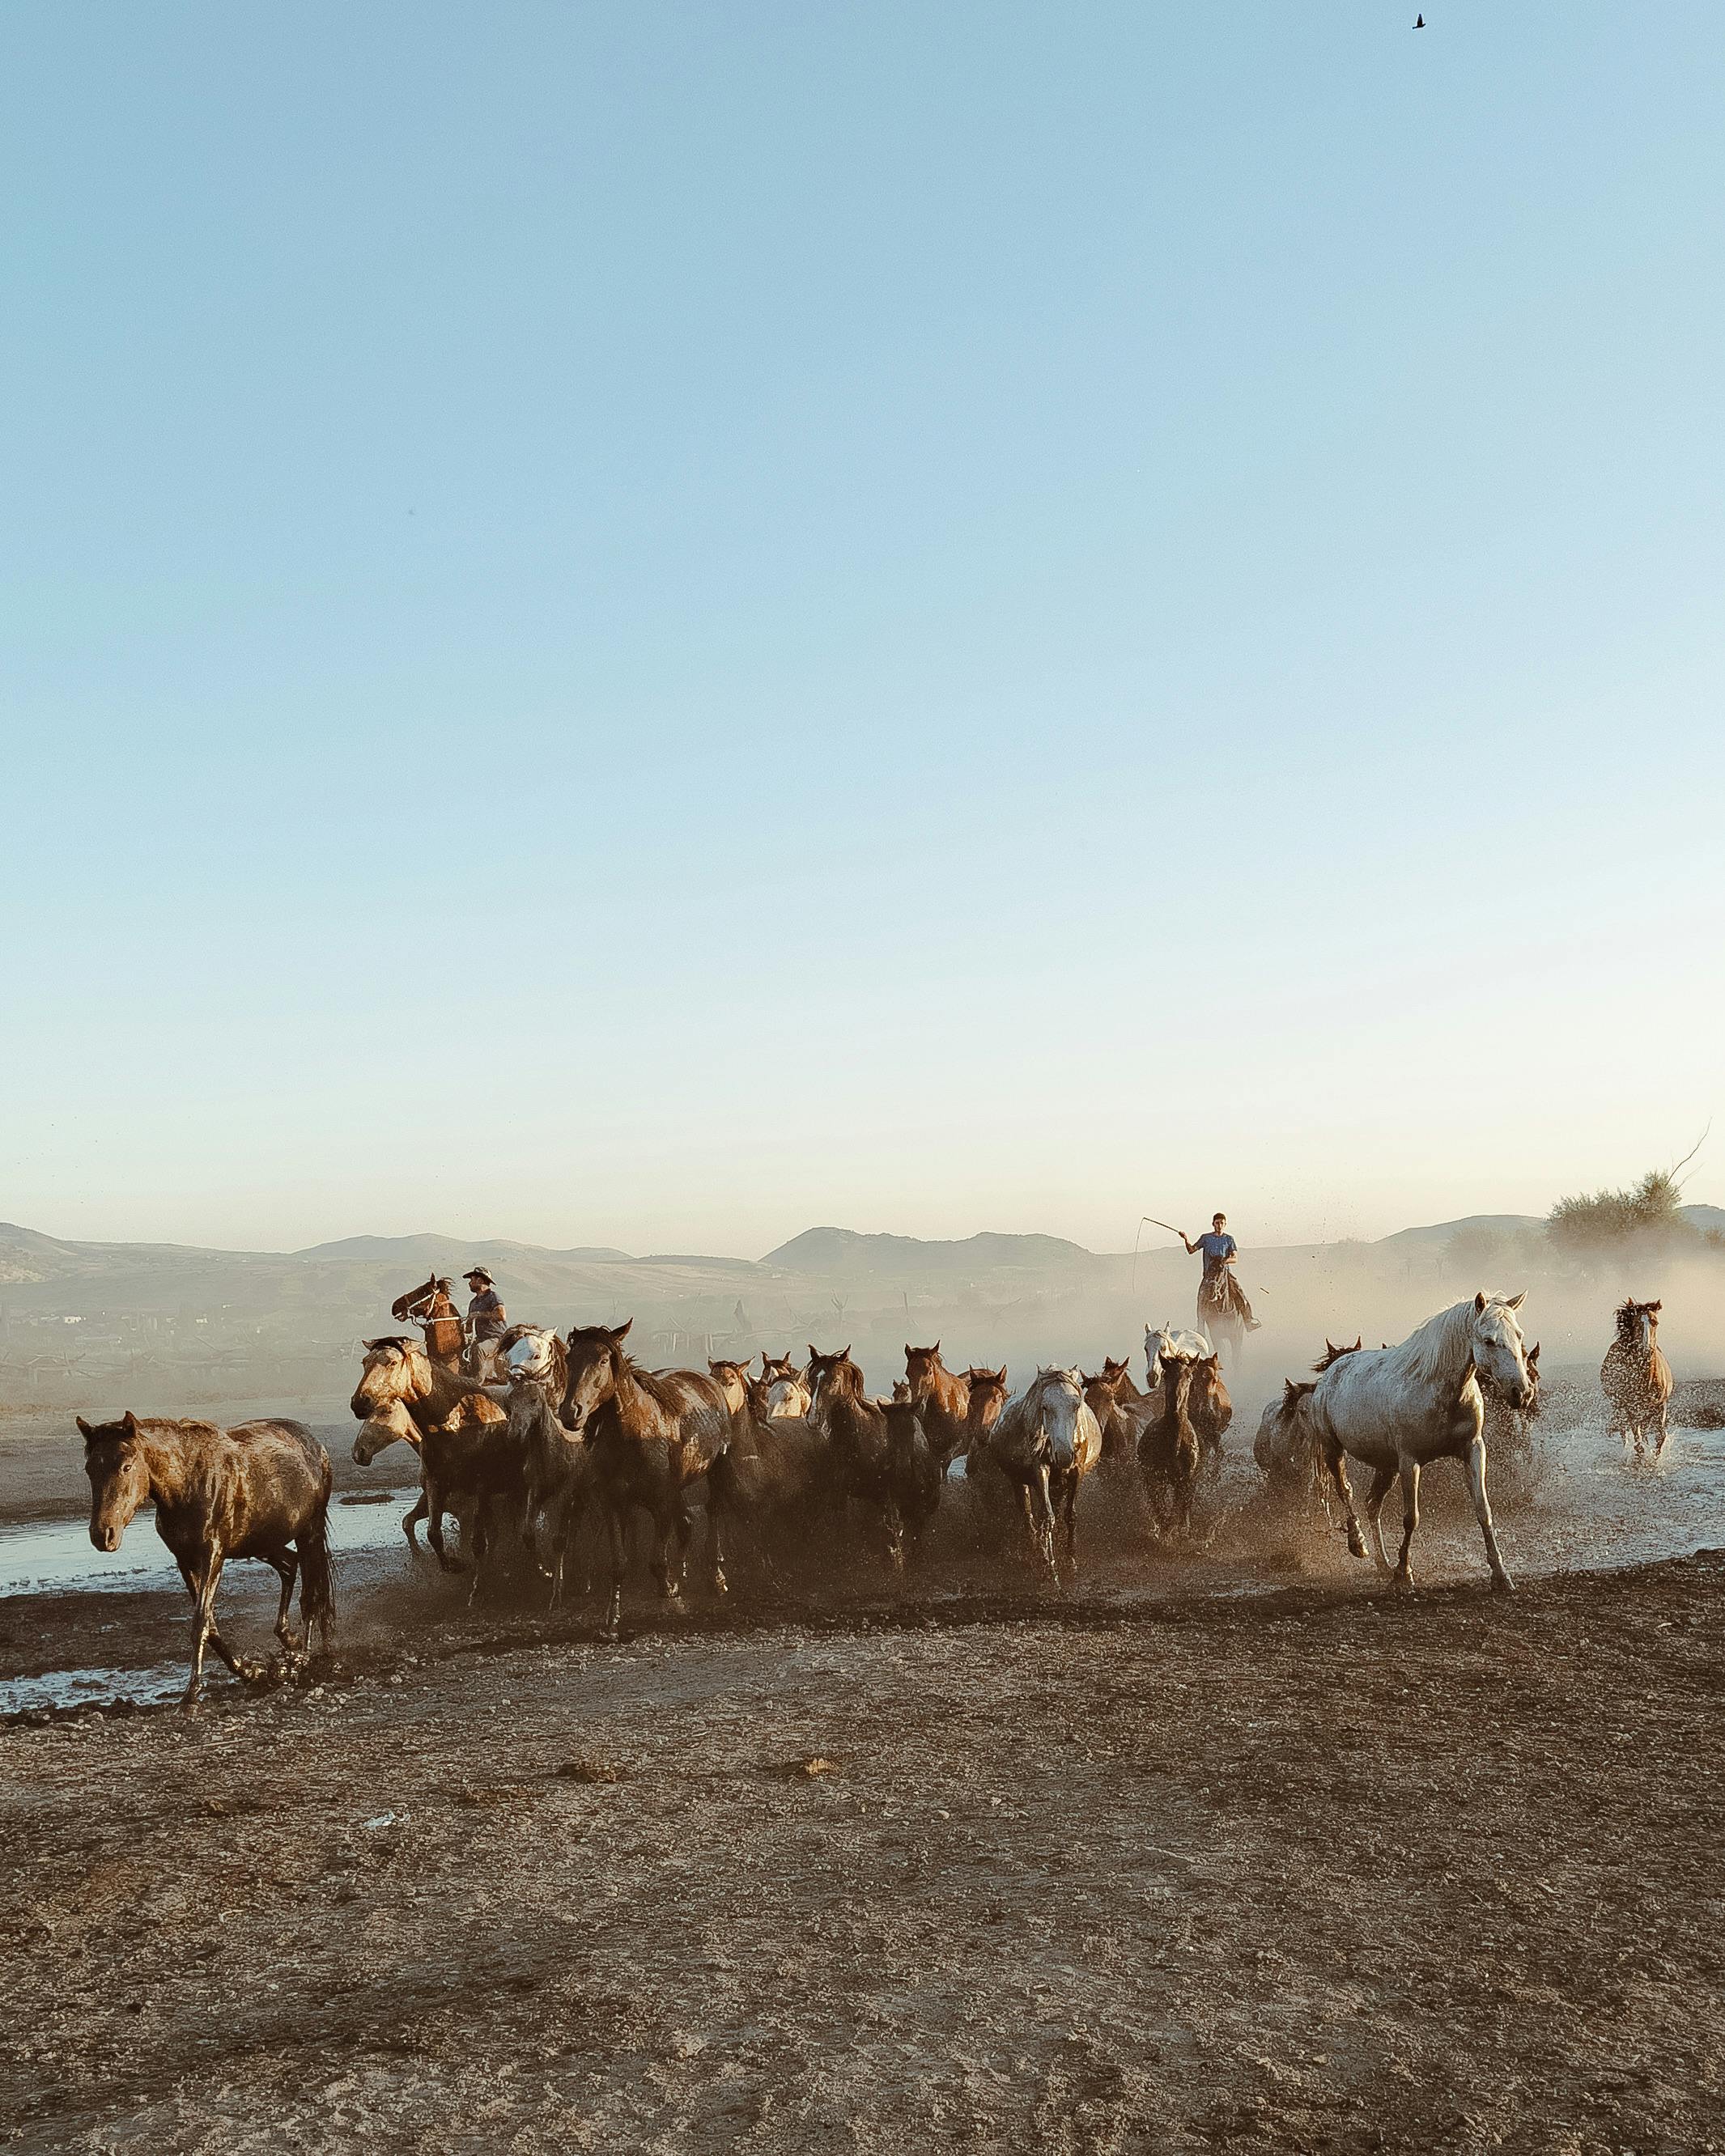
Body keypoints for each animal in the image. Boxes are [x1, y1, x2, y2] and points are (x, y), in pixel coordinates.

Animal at [78, 1412, 334, 1707]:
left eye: (126, 1466)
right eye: (89, 1469)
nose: (102, 1535)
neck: (188, 1483)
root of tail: (316, 1446)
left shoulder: (212, 1557)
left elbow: (200, 1622)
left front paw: (191, 1694)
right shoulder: (185, 1561)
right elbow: (210, 1625)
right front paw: (250, 1671)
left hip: (309, 1534)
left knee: (313, 1595)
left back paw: (305, 1656)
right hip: (262, 1542)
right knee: (290, 1566)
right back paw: (289, 1642)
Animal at [559, 1319, 737, 1638]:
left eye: (603, 1360)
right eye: (570, 1359)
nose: (571, 1412)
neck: (634, 1433)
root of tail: (709, 1380)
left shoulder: (661, 1502)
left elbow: (657, 1561)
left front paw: (669, 1591)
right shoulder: (613, 1503)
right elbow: (619, 1564)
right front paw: (612, 1621)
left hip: (717, 1470)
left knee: (713, 1512)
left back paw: (716, 1577)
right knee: (687, 1523)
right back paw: (683, 1572)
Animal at [971, 1367, 1102, 1583]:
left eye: (1076, 1406)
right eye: (1045, 1407)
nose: (1064, 1455)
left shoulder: (1076, 1473)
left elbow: (1070, 1515)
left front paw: (1070, 1559)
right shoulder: (1040, 1471)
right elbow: (1046, 1519)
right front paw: (1050, 1566)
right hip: (1020, 1482)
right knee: (1028, 1516)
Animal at [1306, 1292, 1534, 1591]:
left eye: (1519, 1335)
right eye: (1488, 1340)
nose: (1522, 1392)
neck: (1438, 1390)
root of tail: (1332, 1372)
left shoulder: (1474, 1450)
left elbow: (1483, 1510)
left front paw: (1501, 1574)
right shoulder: (1410, 1461)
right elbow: (1410, 1518)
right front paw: (1404, 1573)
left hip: (1386, 1466)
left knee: (1372, 1505)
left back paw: (1383, 1564)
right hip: (1334, 1450)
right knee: (1346, 1492)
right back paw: (1359, 1544)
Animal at [1602, 1301, 1673, 1463]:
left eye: (1655, 1322)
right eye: (1636, 1323)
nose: (1645, 1350)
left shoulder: (1661, 1405)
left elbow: (1661, 1436)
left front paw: (1654, 1458)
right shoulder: (1631, 1409)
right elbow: (1637, 1440)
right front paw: (1641, 1457)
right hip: (1618, 1406)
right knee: (1624, 1431)